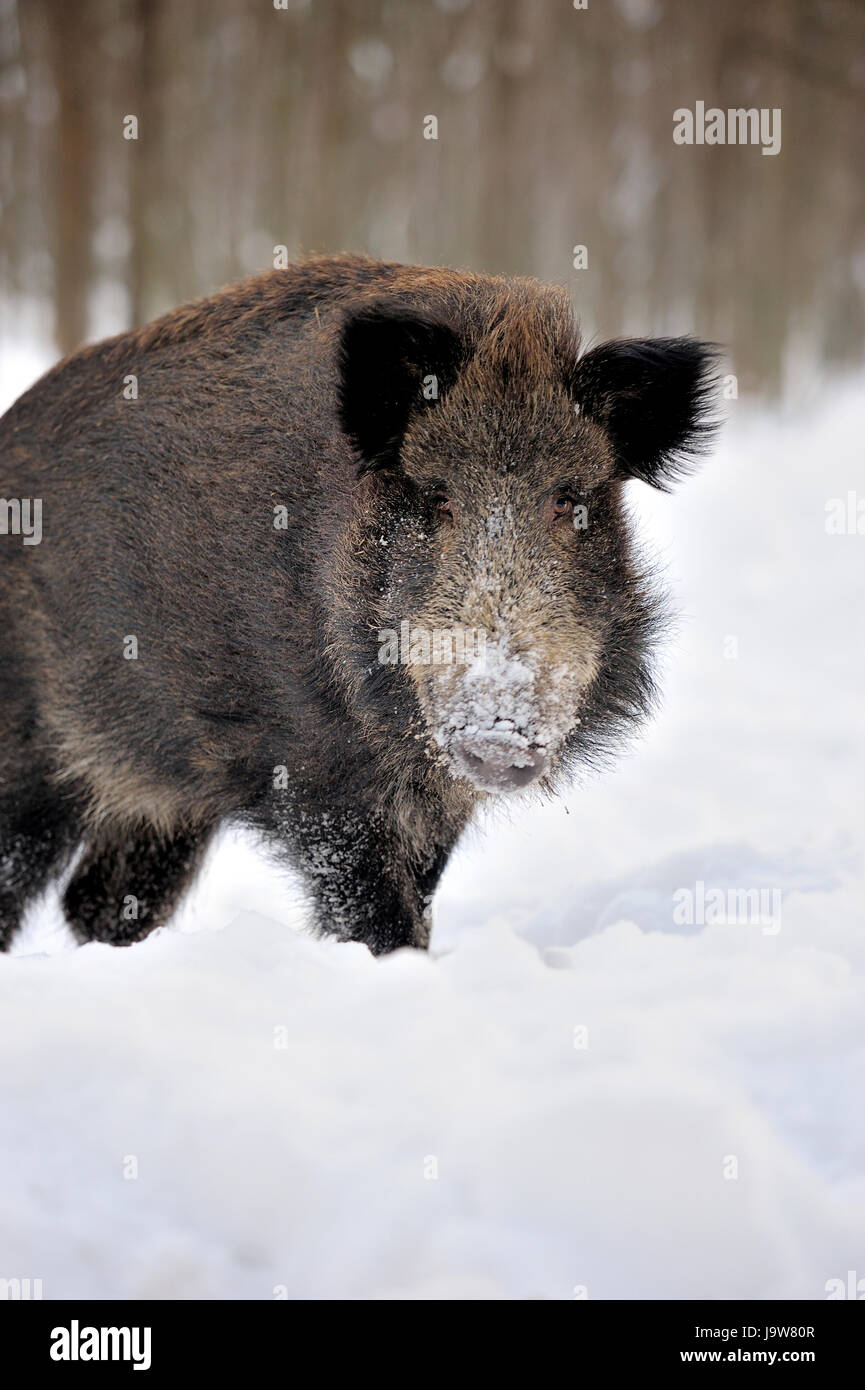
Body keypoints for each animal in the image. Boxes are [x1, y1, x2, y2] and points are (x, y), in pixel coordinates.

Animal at [0, 255, 718, 955]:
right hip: (29, 758)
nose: (497, 736)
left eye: (566, 501)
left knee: (97, 902)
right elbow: (373, 911)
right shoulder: (314, 771)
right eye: (438, 498)